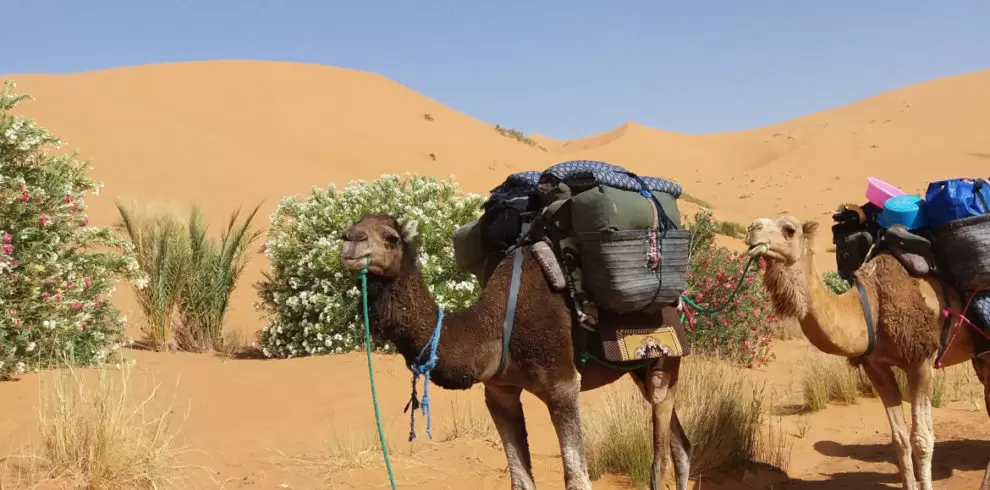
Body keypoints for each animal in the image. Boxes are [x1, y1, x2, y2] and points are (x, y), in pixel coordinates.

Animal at [339, 212, 691, 490]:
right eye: (351, 227)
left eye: (391, 238)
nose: (351, 242)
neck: (493, 326)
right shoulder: (500, 391)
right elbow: (520, 480)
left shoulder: (563, 384)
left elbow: (577, 479)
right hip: (639, 370)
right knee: (682, 448)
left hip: (665, 360)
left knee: (659, 460)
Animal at [743, 213, 989, 490]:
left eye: (789, 229)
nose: (753, 229)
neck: (873, 304)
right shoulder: (876, 366)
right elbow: (900, 438)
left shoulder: (920, 362)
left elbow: (922, 439)